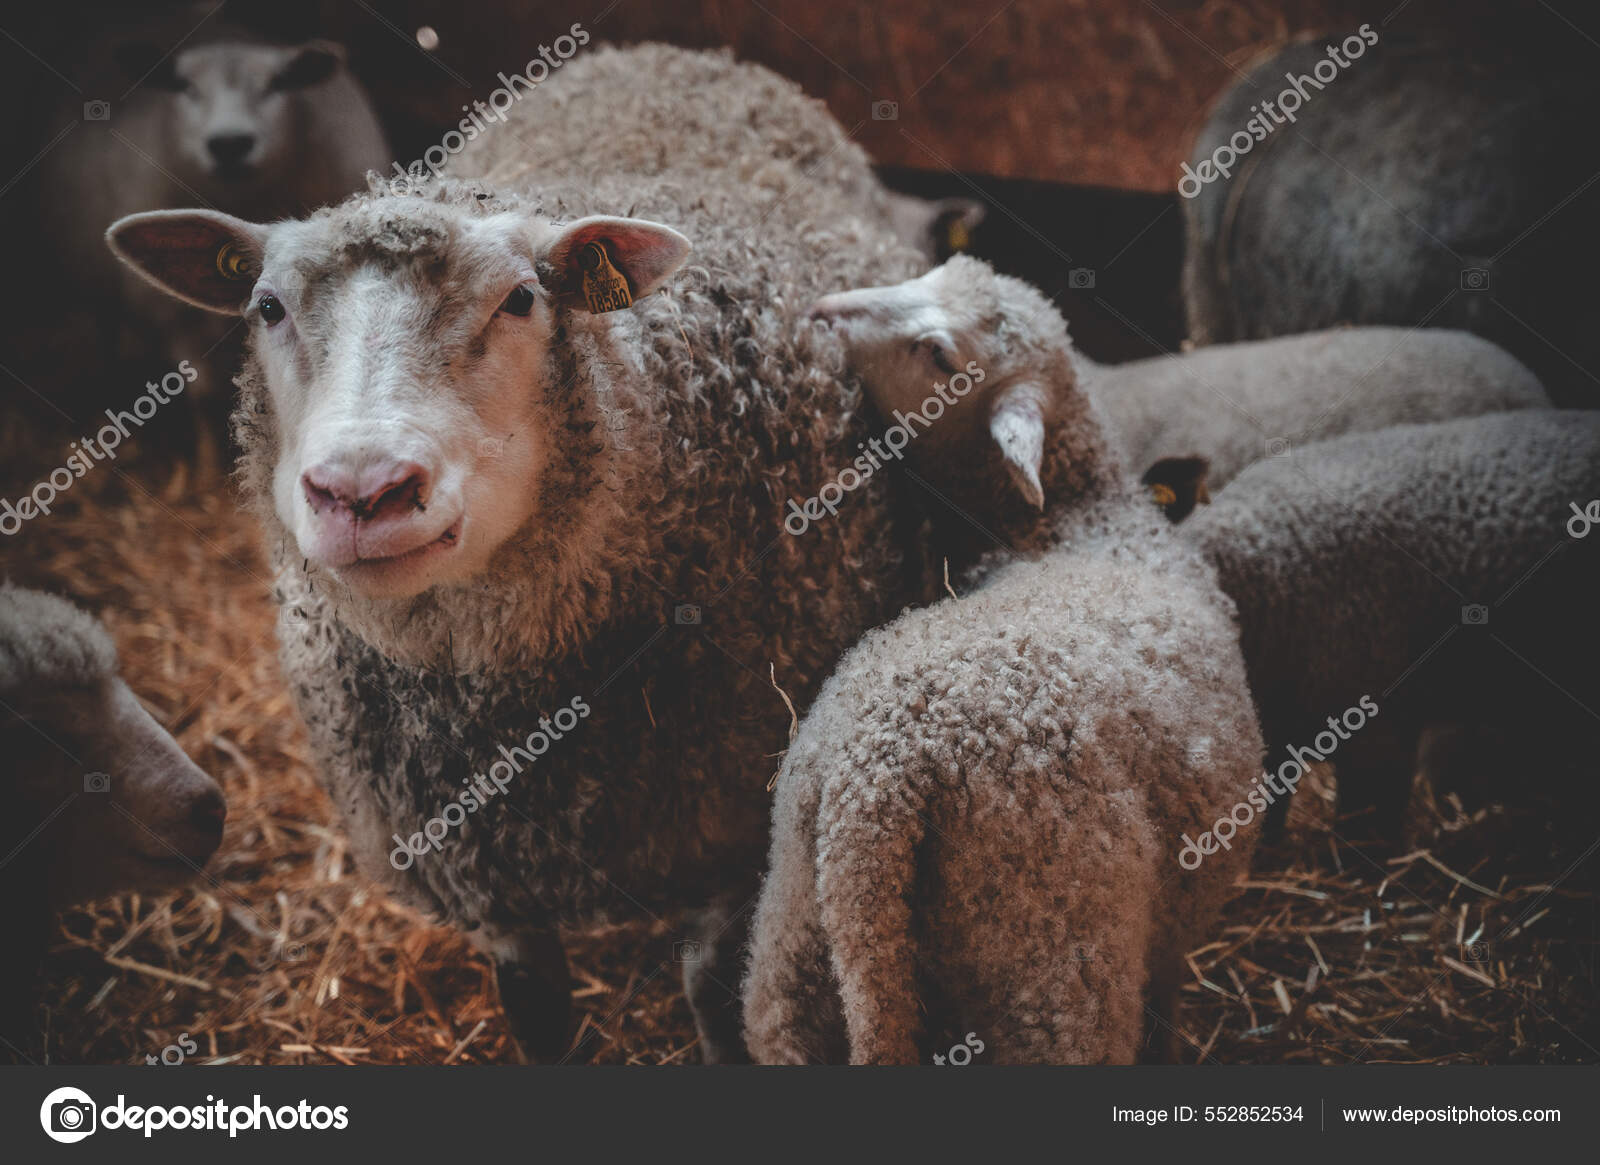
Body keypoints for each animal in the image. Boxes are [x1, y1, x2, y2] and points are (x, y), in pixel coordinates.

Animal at [104, 46, 932, 1061]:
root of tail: (676, 53)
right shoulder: (484, 863)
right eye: (266, 308)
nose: (361, 492)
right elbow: (534, 1003)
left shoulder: (727, 834)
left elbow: (710, 990)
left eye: (523, 299)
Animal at [743, 256, 1264, 1064]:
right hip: (1048, 962)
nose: (822, 311)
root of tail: (875, 791)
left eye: (938, 354)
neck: (1079, 520)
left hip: (794, 948)